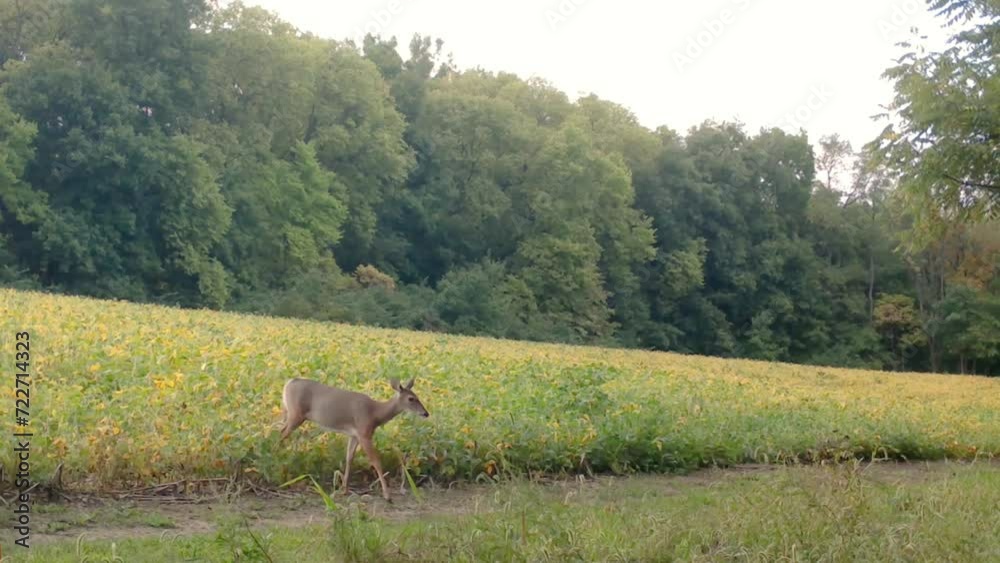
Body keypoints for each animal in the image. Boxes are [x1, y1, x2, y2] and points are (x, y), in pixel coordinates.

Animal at [278, 376, 430, 501]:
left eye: (417, 396)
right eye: (411, 398)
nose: (426, 413)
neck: (374, 414)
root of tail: (288, 383)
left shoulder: (354, 435)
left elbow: (349, 458)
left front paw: (344, 490)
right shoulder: (364, 434)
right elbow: (376, 461)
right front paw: (387, 496)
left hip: (291, 414)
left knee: (280, 431)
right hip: (296, 414)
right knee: (281, 434)